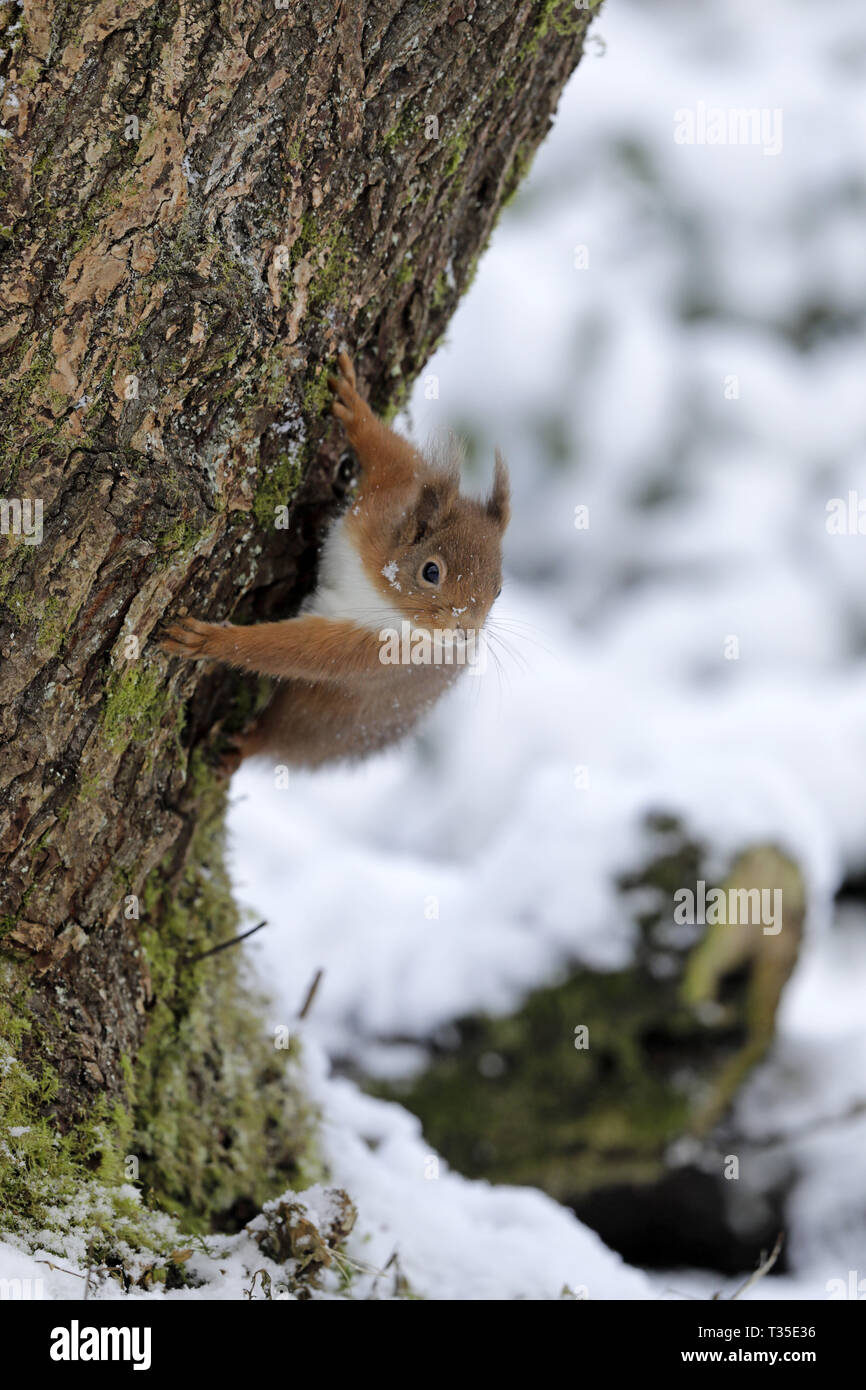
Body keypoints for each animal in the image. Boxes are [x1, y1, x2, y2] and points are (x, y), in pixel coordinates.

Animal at [161, 352, 510, 770]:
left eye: (498, 590)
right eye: (431, 572)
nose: (465, 632)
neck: (381, 584)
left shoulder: (377, 650)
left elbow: (302, 652)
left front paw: (212, 640)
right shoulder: (396, 490)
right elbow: (389, 452)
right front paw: (353, 402)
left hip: (309, 719)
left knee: (273, 737)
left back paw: (242, 747)